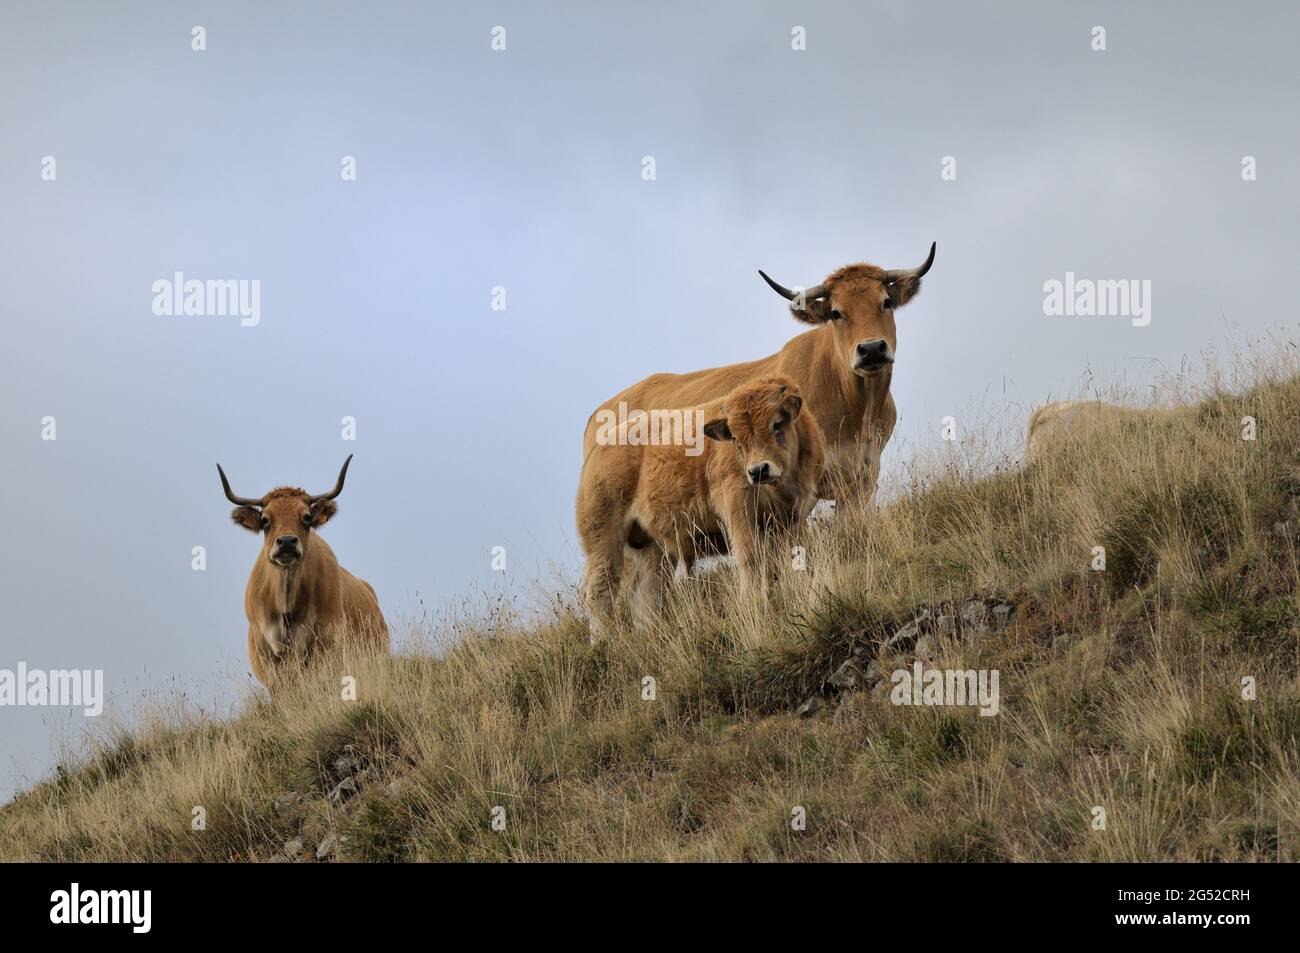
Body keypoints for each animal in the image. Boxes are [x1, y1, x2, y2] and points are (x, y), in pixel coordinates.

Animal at [217, 454, 388, 689]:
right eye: (265, 520)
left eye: (306, 518)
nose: (287, 542)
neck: (286, 605)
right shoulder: (266, 655)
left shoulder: (325, 644)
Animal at [577, 377, 826, 639]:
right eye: (735, 438)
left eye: (777, 424)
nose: (759, 471)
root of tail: (599, 446)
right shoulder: (738, 511)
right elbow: (750, 558)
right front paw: (754, 602)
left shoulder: (793, 518)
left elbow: (793, 557)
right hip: (604, 540)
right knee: (600, 590)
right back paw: (602, 641)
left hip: (653, 549)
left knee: (647, 594)